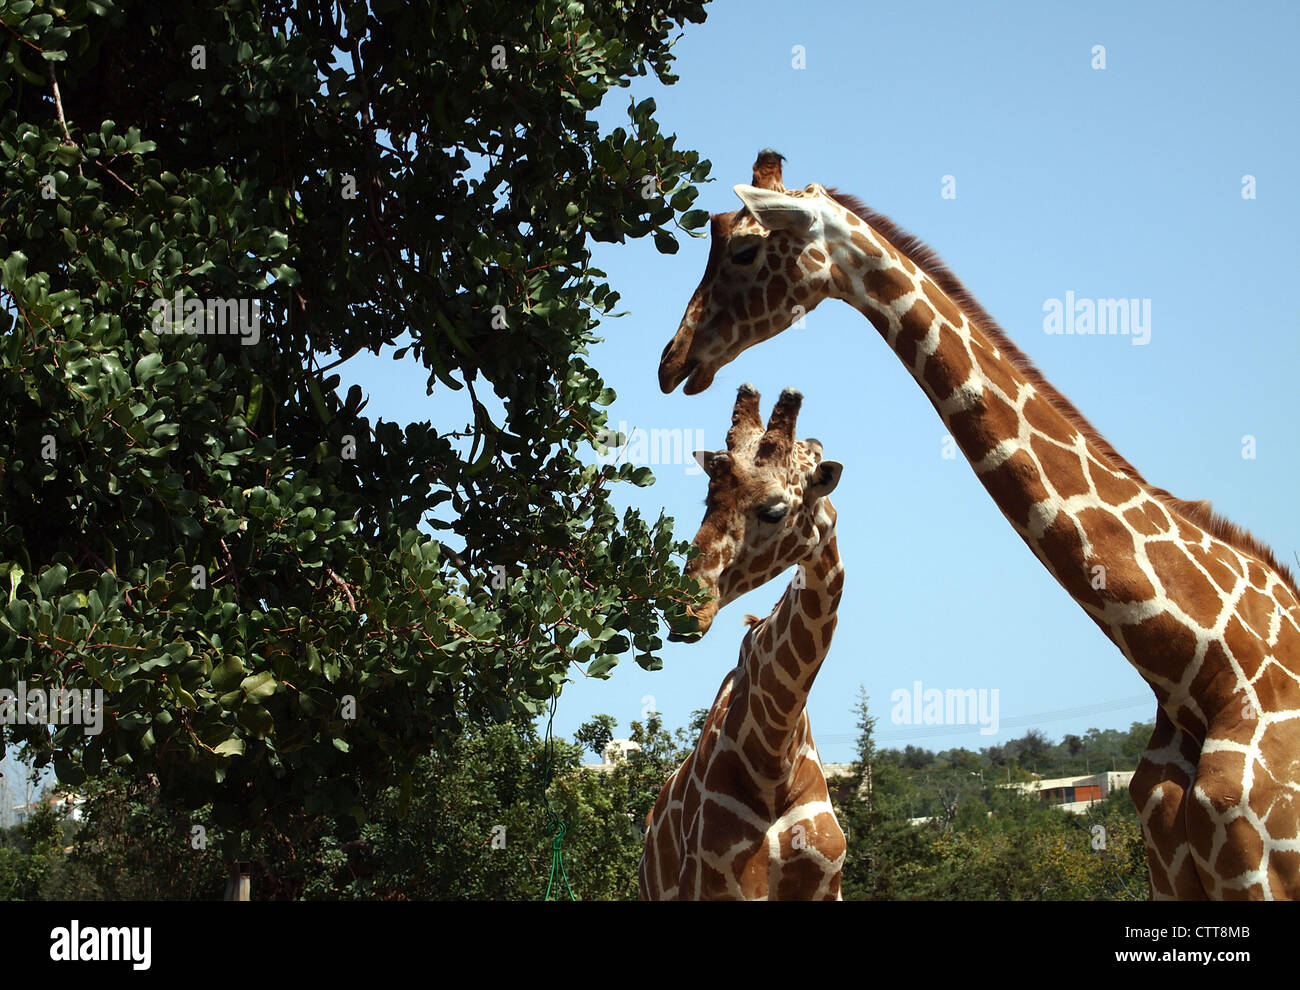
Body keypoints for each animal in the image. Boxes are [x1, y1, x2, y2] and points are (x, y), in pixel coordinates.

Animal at [639, 384, 847, 900]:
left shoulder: (827, 886)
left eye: (773, 510)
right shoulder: (719, 885)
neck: (775, 754)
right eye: (708, 498)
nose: (685, 609)